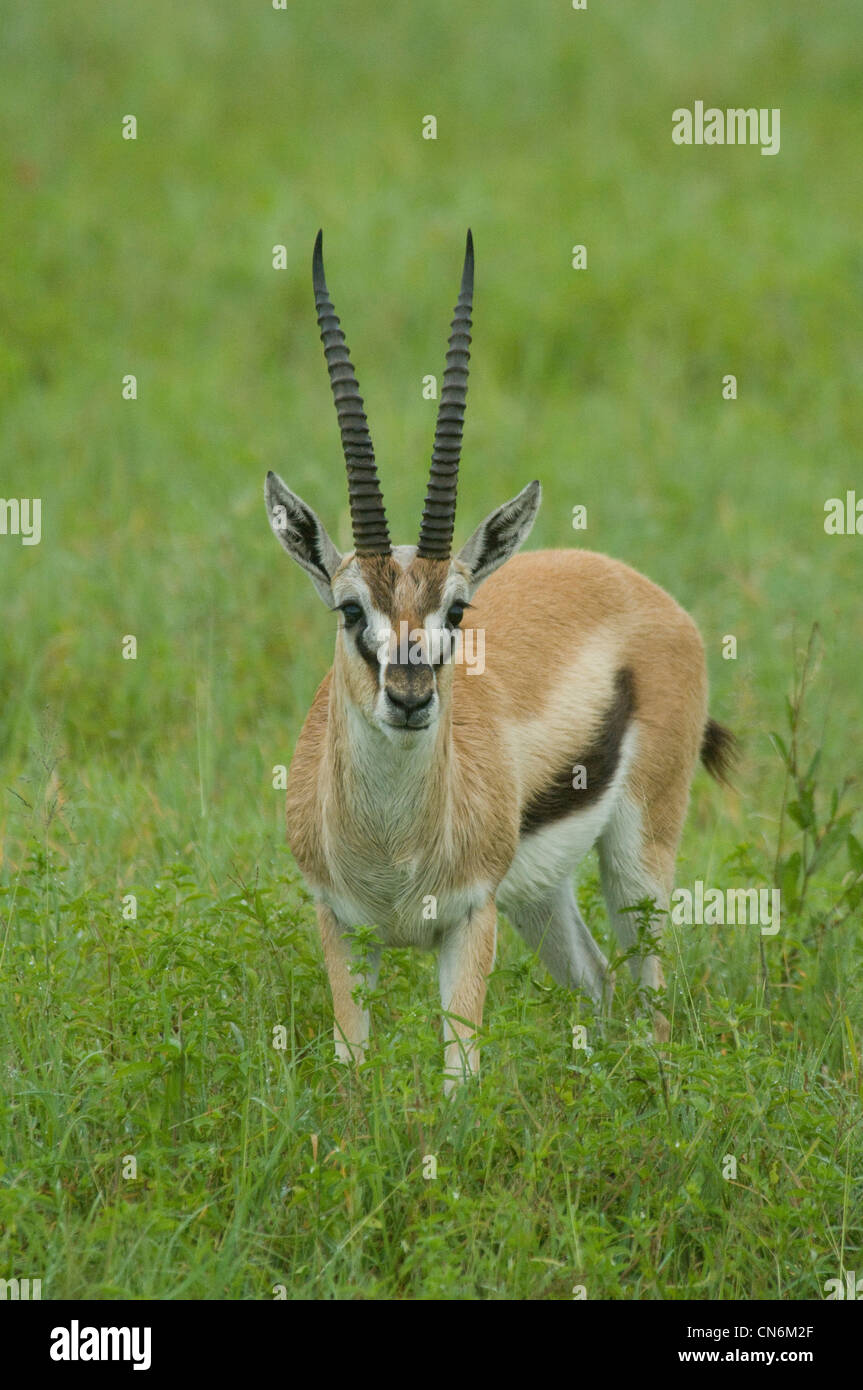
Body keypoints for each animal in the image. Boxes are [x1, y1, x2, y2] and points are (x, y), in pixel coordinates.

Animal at [265, 230, 733, 1089]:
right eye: (350, 609)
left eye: (456, 610)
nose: (409, 697)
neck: (392, 848)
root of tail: (636, 586)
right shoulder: (341, 926)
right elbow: (352, 1072)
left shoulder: (467, 922)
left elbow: (461, 1082)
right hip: (538, 896)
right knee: (596, 981)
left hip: (636, 865)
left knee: (651, 1002)